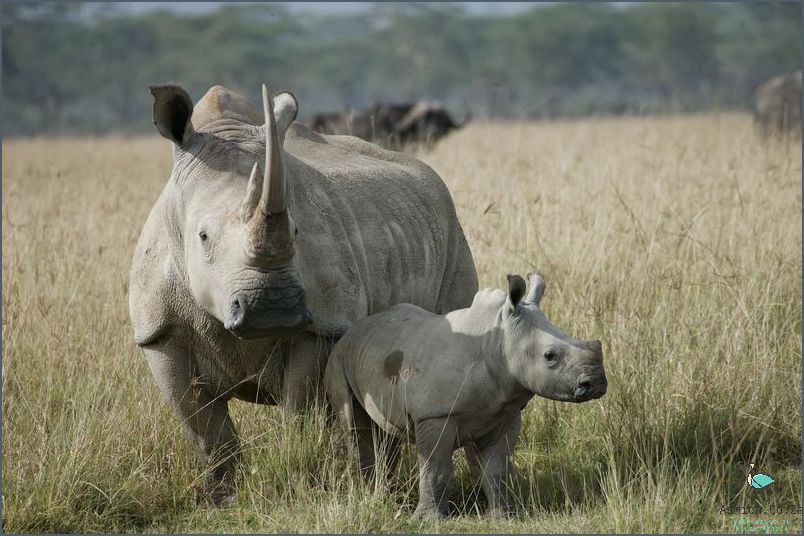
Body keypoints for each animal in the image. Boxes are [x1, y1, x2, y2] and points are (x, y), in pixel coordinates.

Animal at [128, 83, 478, 504]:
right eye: (203, 236)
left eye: (296, 231)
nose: (272, 309)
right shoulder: (159, 331)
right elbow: (204, 429)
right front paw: (222, 498)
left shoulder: (321, 324)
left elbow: (299, 411)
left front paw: (298, 479)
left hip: (450, 229)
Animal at [325, 272, 607, 519]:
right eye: (550, 356)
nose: (596, 383)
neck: (497, 345)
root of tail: (354, 329)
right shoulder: (435, 415)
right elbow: (436, 468)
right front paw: (430, 520)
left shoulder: (504, 412)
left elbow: (495, 469)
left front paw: (503, 516)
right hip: (339, 355)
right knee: (354, 425)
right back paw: (371, 496)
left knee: (386, 433)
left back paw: (385, 496)